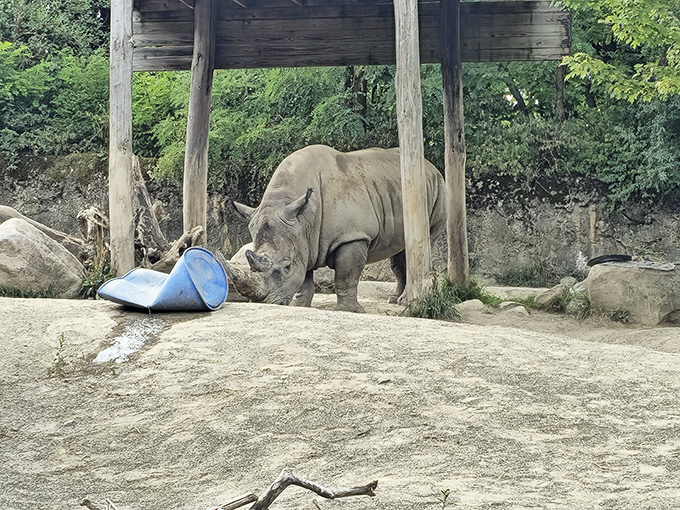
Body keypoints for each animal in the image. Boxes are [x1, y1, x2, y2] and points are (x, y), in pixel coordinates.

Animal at [223, 145, 446, 312]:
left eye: (287, 267)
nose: (265, 303)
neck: (305, 219)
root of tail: (431, 167)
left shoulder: (352, 236)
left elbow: (346, 274)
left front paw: (350, 311)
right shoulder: (302, 239)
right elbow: (304, 278)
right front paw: (301, 306)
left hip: (438, 189)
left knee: (420, 243)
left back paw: (404, 301)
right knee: (399, 253)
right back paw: (394, 299)